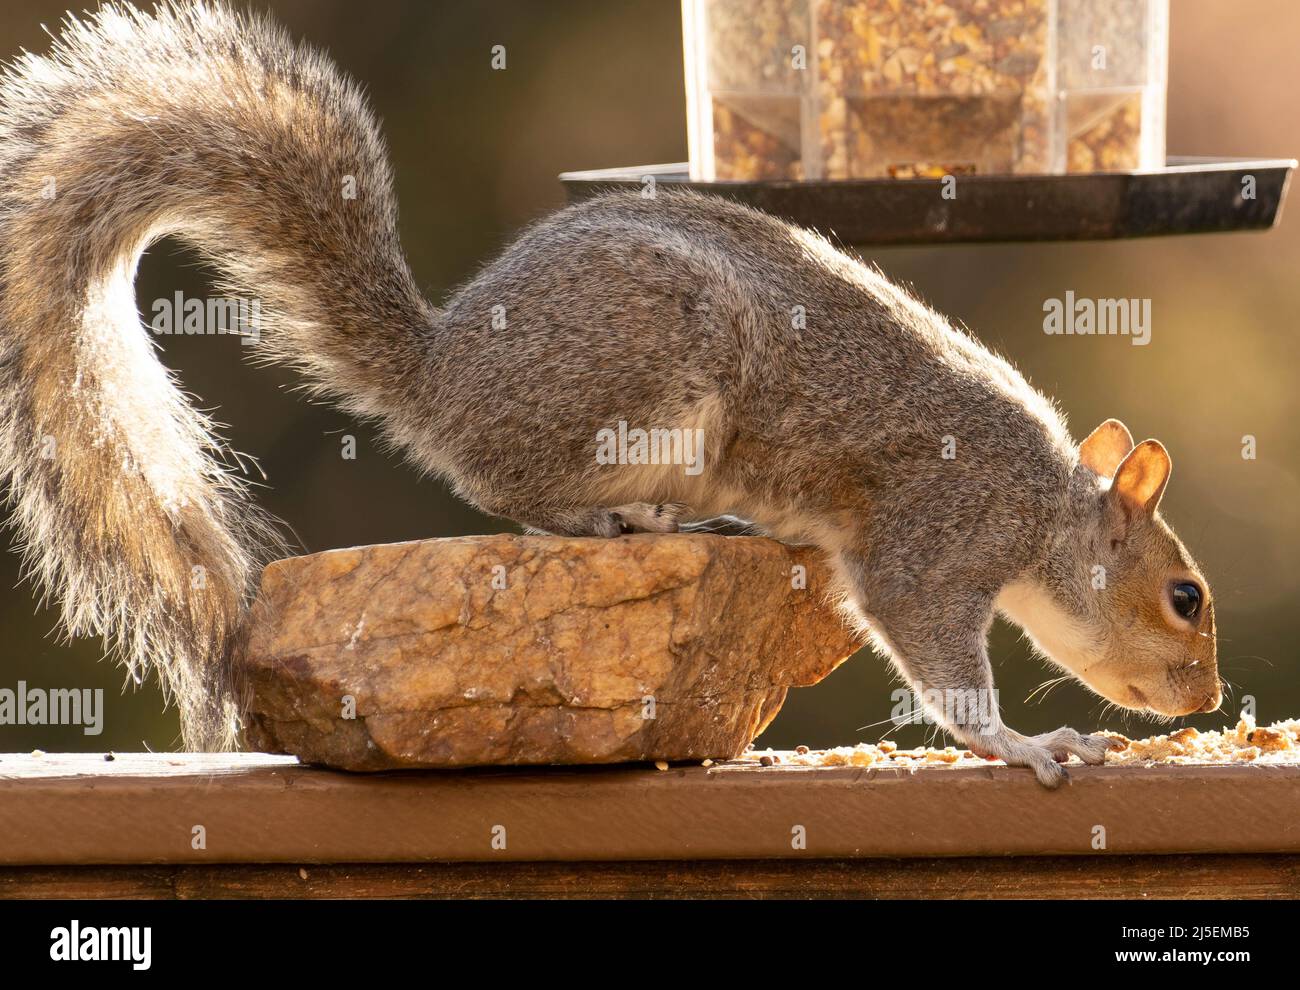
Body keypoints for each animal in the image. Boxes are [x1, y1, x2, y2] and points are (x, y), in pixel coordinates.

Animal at [0, 2, 1220, 785]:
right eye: (1184, 598)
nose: (1208, 701)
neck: (1047, 510)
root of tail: (443, 375)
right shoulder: (940, 528)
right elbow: (931, 645)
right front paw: (1025, 747)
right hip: (655, 371)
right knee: (517, 495)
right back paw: (616, 517)